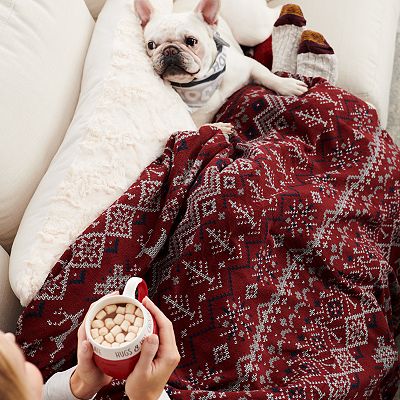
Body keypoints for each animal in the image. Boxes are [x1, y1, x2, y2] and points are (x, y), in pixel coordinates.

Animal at [134, 0, 306, 126]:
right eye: (151, 45)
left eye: (191, 41)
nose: (169, 50)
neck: (203, 83)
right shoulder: (197, 122)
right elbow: (204, 128)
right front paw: (221, 128)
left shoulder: (248, 66)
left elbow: (267, 75)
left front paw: (287, 85)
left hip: (251, 31)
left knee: (273, 13)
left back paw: (291, 11)